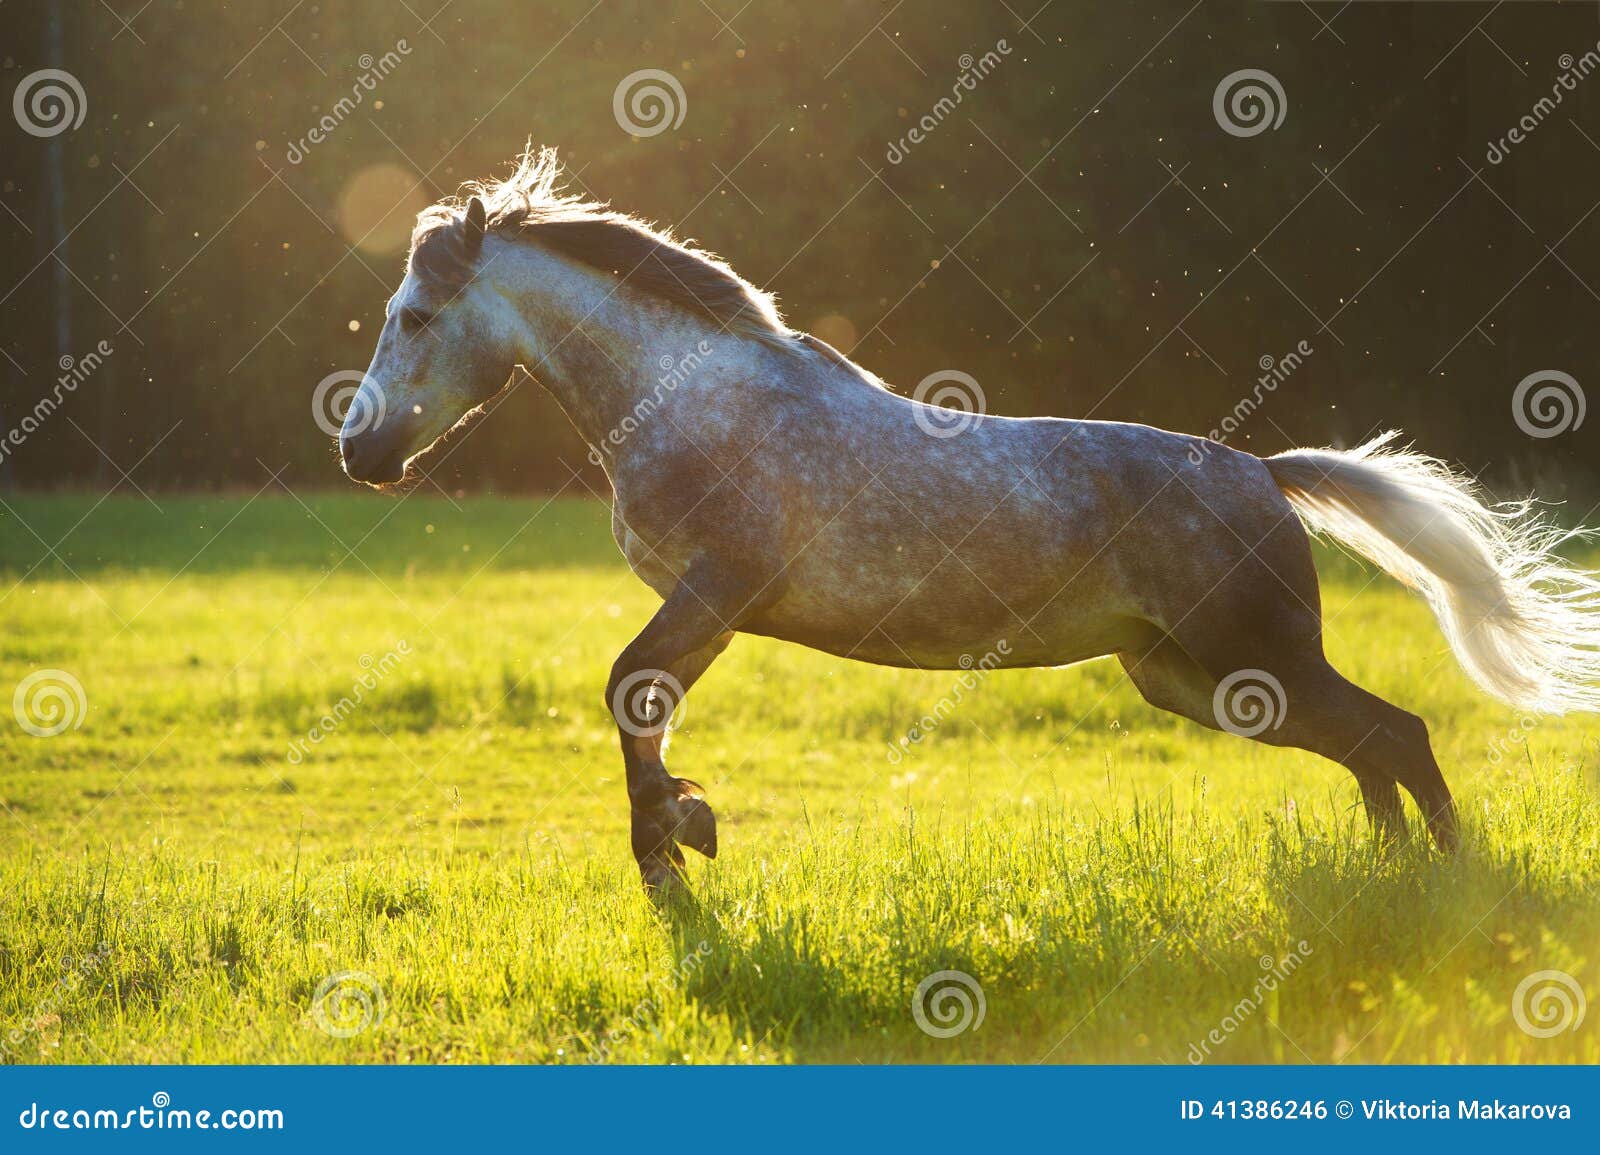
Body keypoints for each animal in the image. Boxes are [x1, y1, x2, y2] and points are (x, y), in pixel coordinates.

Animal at [338, 146, 1600, 893]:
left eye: (413, 315)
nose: (358, 452)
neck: (693, 400)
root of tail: (1262, 471)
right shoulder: (708, 610)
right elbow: (636, 706)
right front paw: (682, 834)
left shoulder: (716, 591)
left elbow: (624, 692)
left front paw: (677, 848)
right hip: (1195, 681)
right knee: (1368, 749)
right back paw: (1393, 883)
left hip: (1252, 658)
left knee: (1398, 738)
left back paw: (1442, 890)